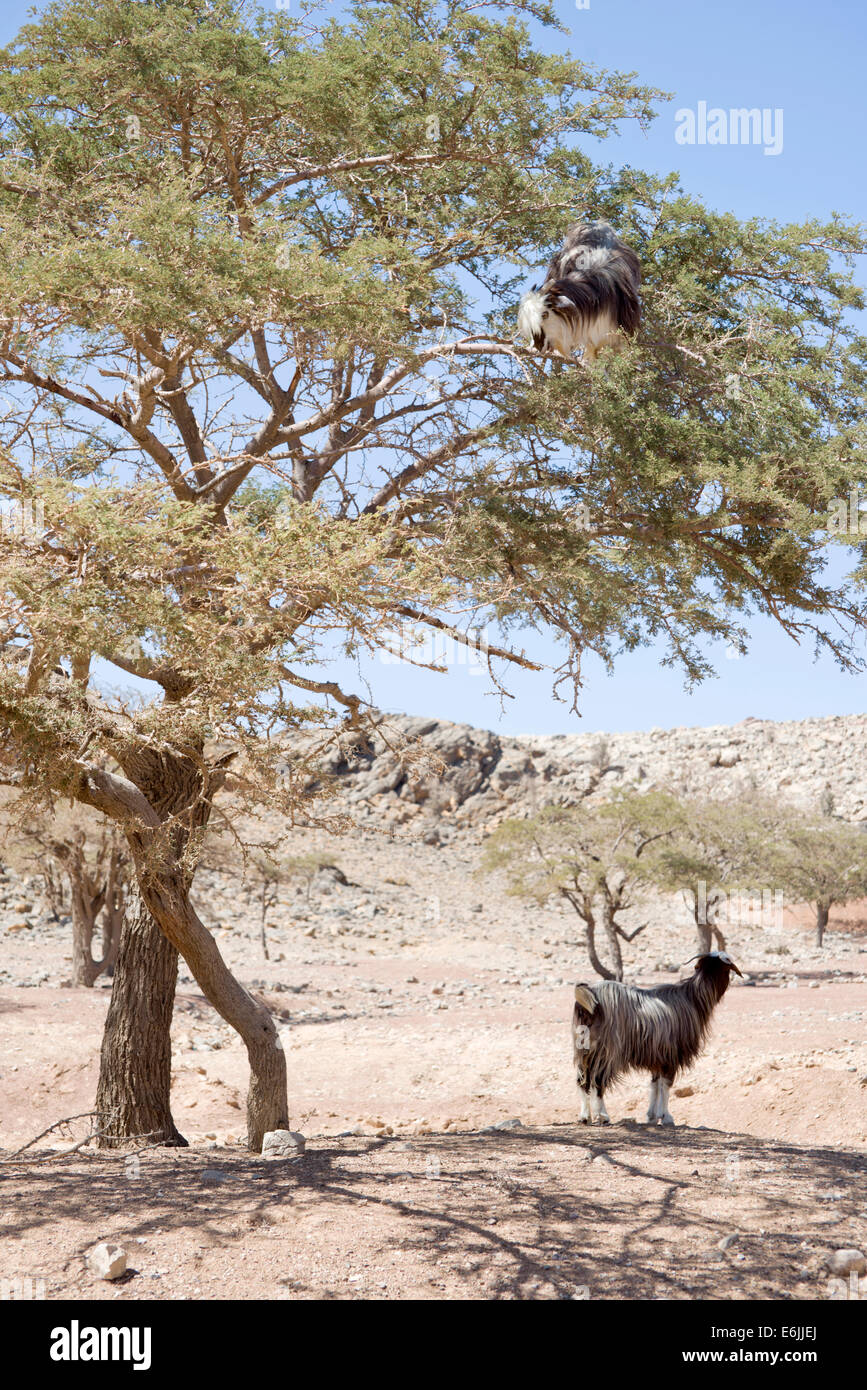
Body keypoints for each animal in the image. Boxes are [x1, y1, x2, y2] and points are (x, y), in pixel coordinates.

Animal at [571, 951, 742, 1126]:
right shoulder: (671, 1056)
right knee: (598, 1080)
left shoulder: (658, 1056)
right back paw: (603, 1116)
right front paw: (666, 1117)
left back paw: (585, 1117)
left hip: (584, 1048)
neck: (692, 998)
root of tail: (588, 998)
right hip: (606, 1050)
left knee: (582, 1080)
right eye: (727, 964)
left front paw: (652, 1116)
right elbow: (666, 1086)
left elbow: (655, 1085)